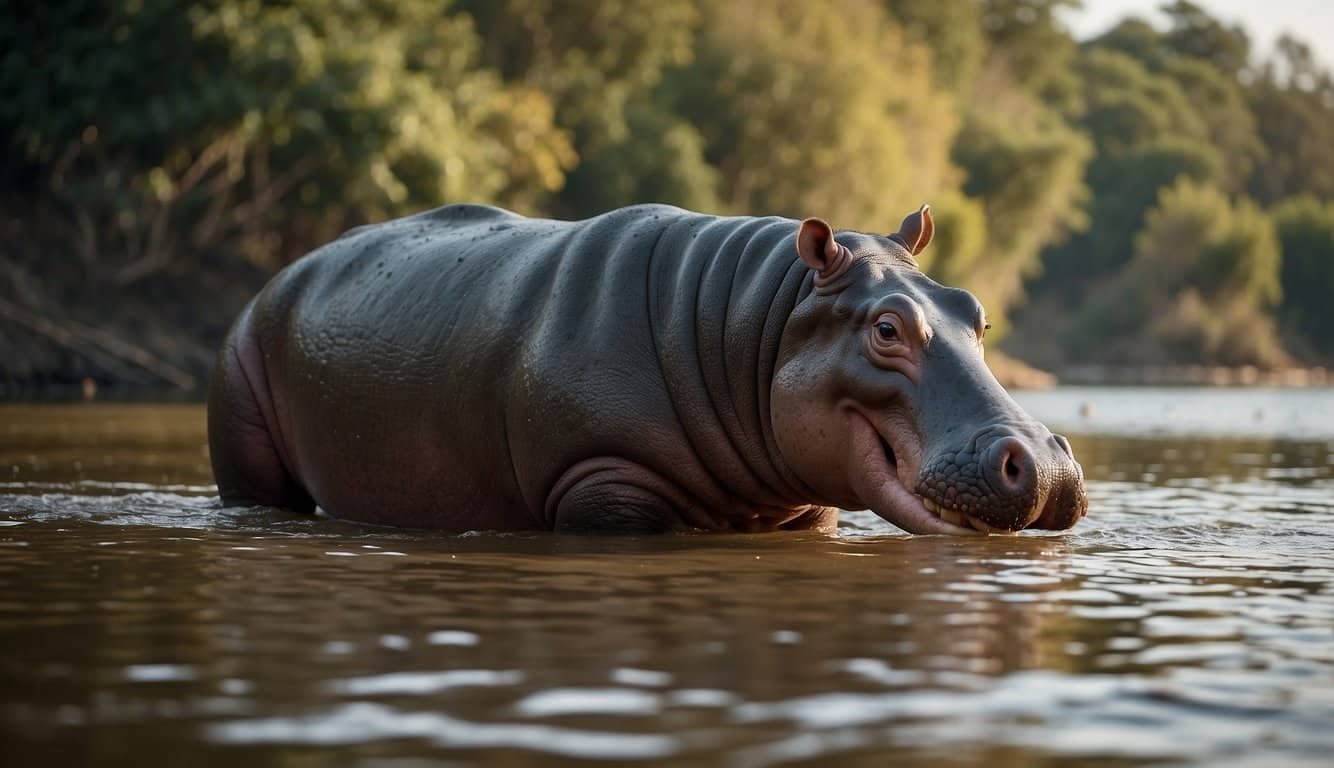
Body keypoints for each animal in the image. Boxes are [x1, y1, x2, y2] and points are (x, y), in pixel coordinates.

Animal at [208, 203, 1087, 534]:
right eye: (885, 328)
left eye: (976, 311)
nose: (1044, 464)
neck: (753, 326)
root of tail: (281, 275)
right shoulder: (606, 485)